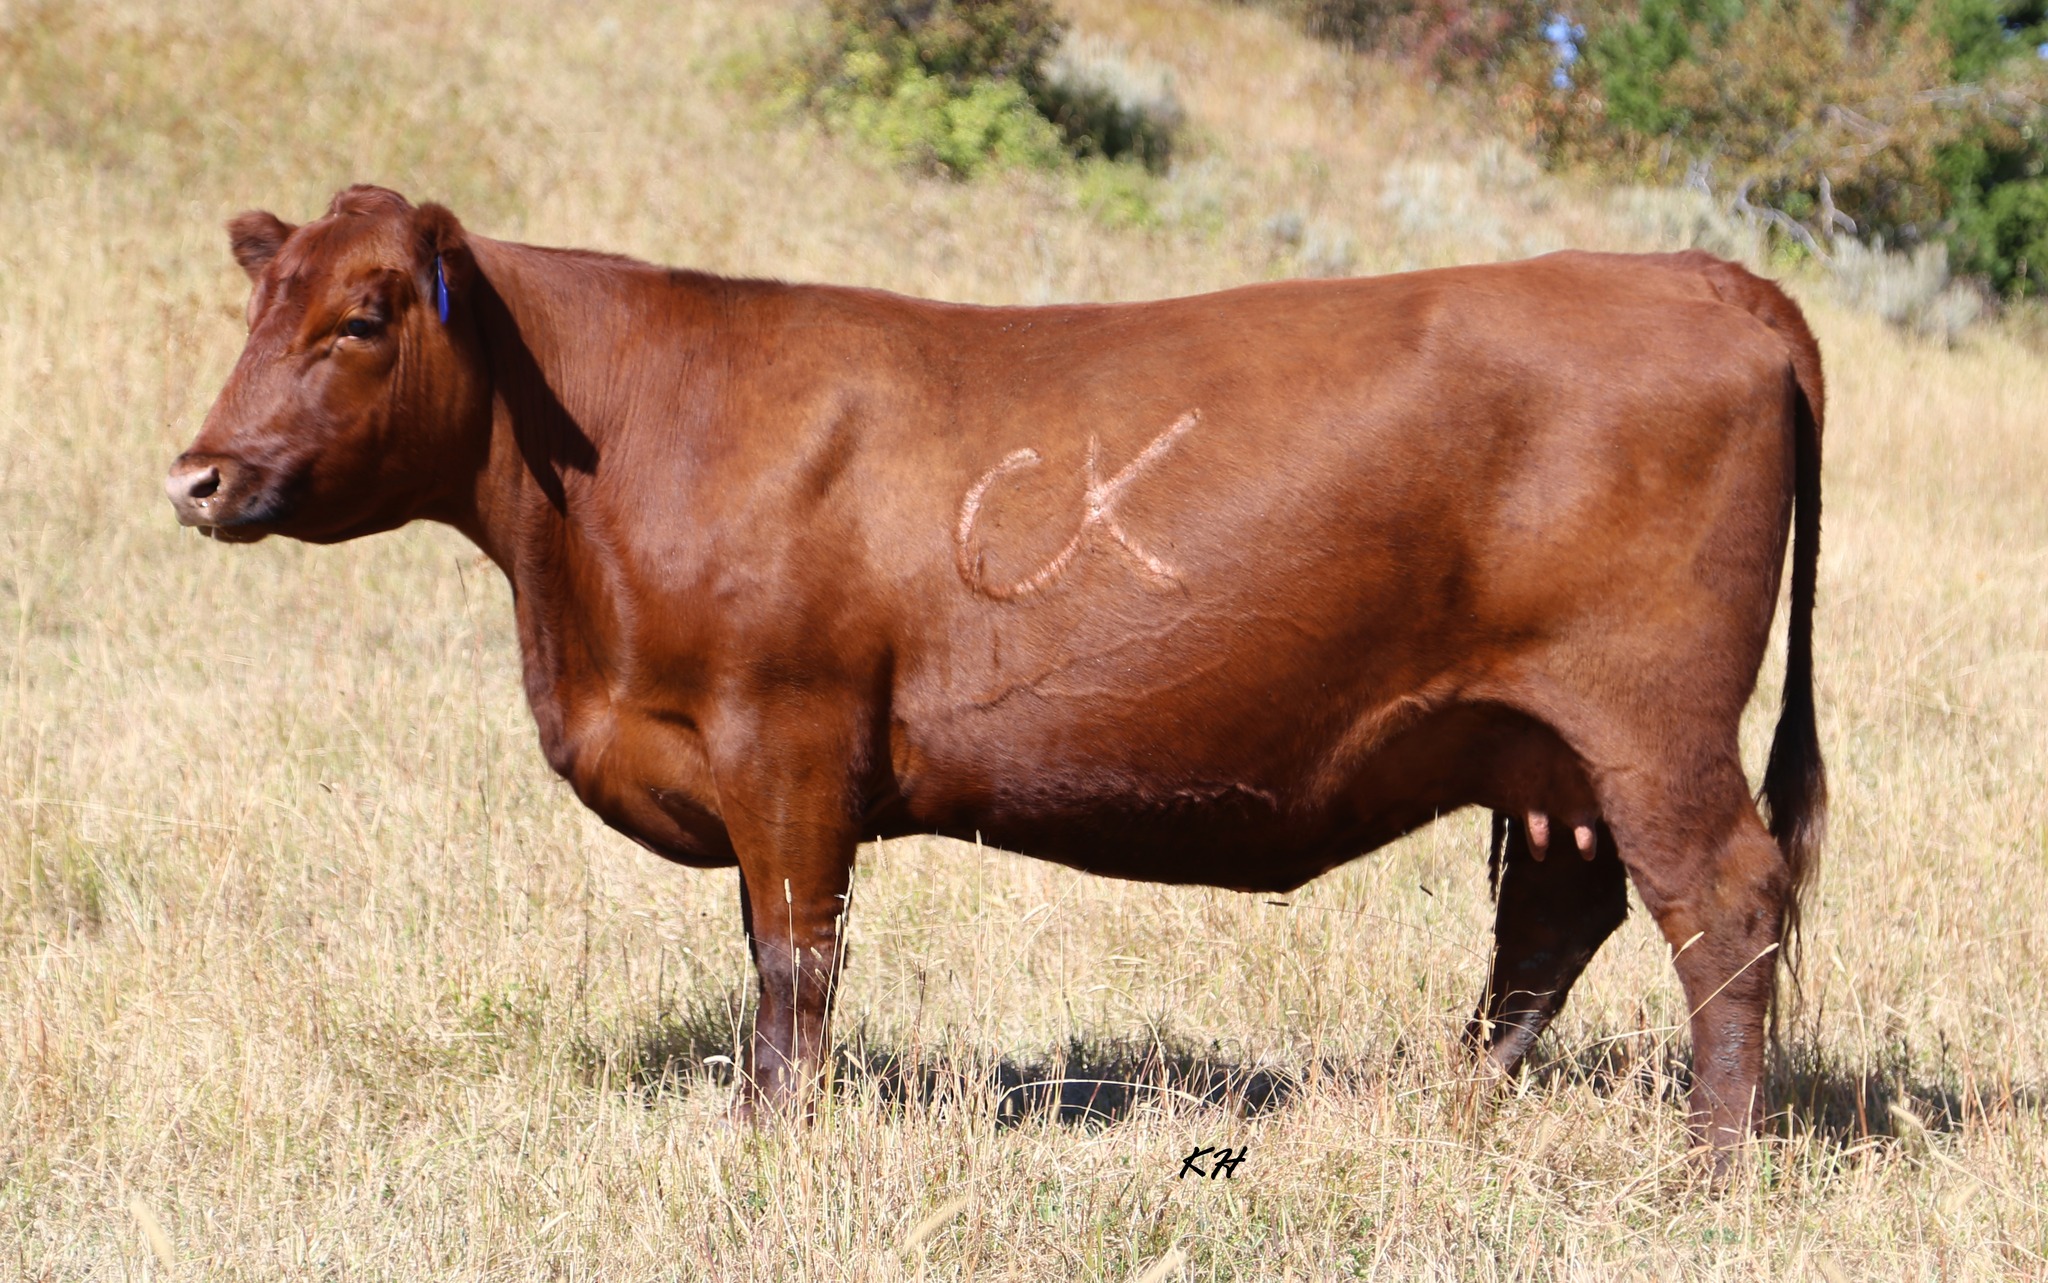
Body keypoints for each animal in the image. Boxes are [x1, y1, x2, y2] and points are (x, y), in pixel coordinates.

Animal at [166, 185, 1824, 1159]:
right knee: (1557, 912)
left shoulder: (788, 739)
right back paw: (1439, 1098)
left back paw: (1710, 1164)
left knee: (1725, 901)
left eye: (361, 316)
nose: (199, 473)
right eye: (254, 306)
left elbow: (796, 961)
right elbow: (769, 956)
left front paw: (776, 1138)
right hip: (1543, 745)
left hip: (1651, 715)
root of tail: (1703, 276)